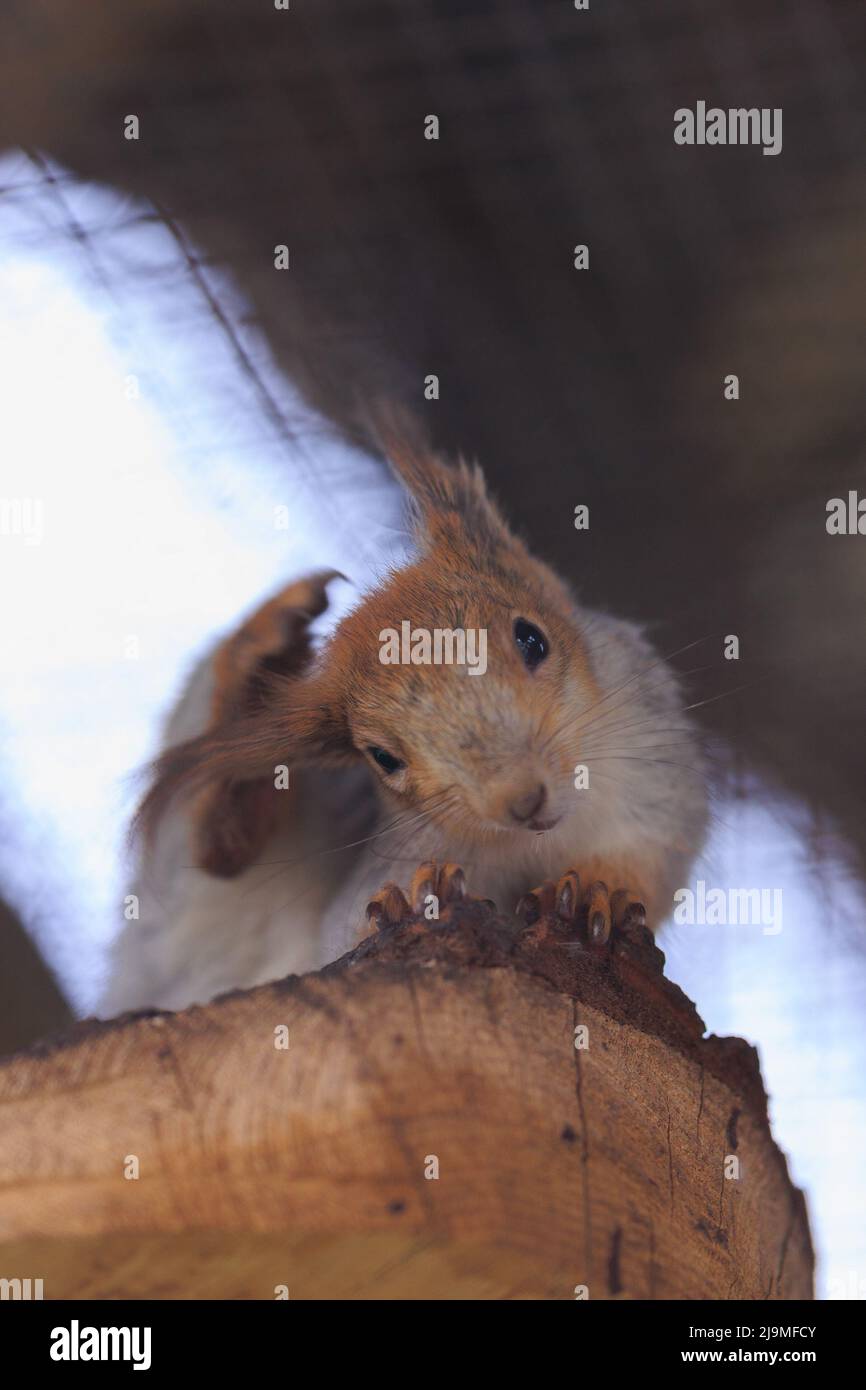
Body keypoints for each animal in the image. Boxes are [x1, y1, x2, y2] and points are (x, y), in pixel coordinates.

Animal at [101, 416, 708, 1015]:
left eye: (531, 639)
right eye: (383, 758)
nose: (522, 801)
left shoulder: (656, 765)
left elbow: (652, 863)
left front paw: (595, 890)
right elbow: (342, 935)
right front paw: (420, 898)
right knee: (214, 855)